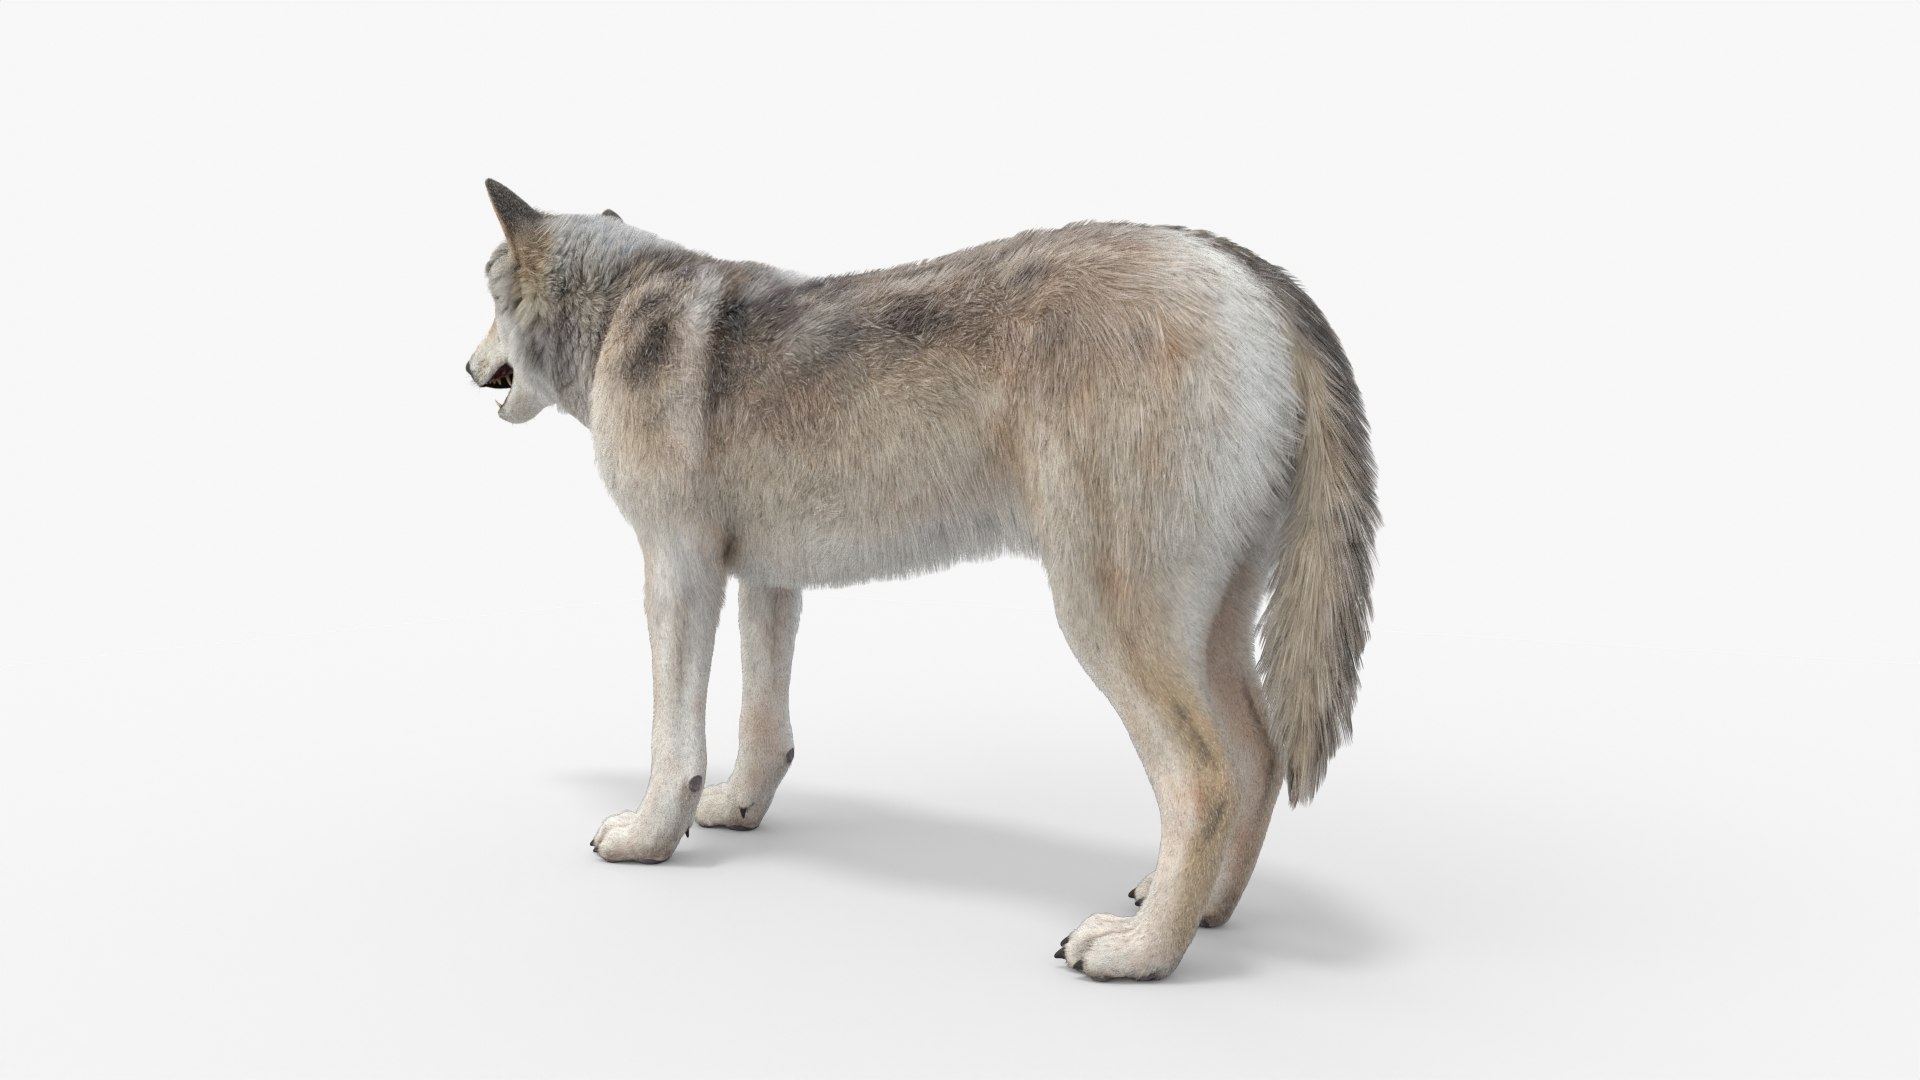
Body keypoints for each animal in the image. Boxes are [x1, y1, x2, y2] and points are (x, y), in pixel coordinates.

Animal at [464, 180, 1378, 981]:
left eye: (487, 296)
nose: (467, 368)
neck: (623, 313)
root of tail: (1249, 272)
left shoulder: (677, 571)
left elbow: (672, 741)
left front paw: (650, 837)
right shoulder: (767, 578)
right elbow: (764, 729)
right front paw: (735, 811)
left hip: (1103, 618)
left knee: (1206, 780)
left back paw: (1142, 953)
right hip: (1208, 630)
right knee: (1259, 755)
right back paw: (1202, 913)